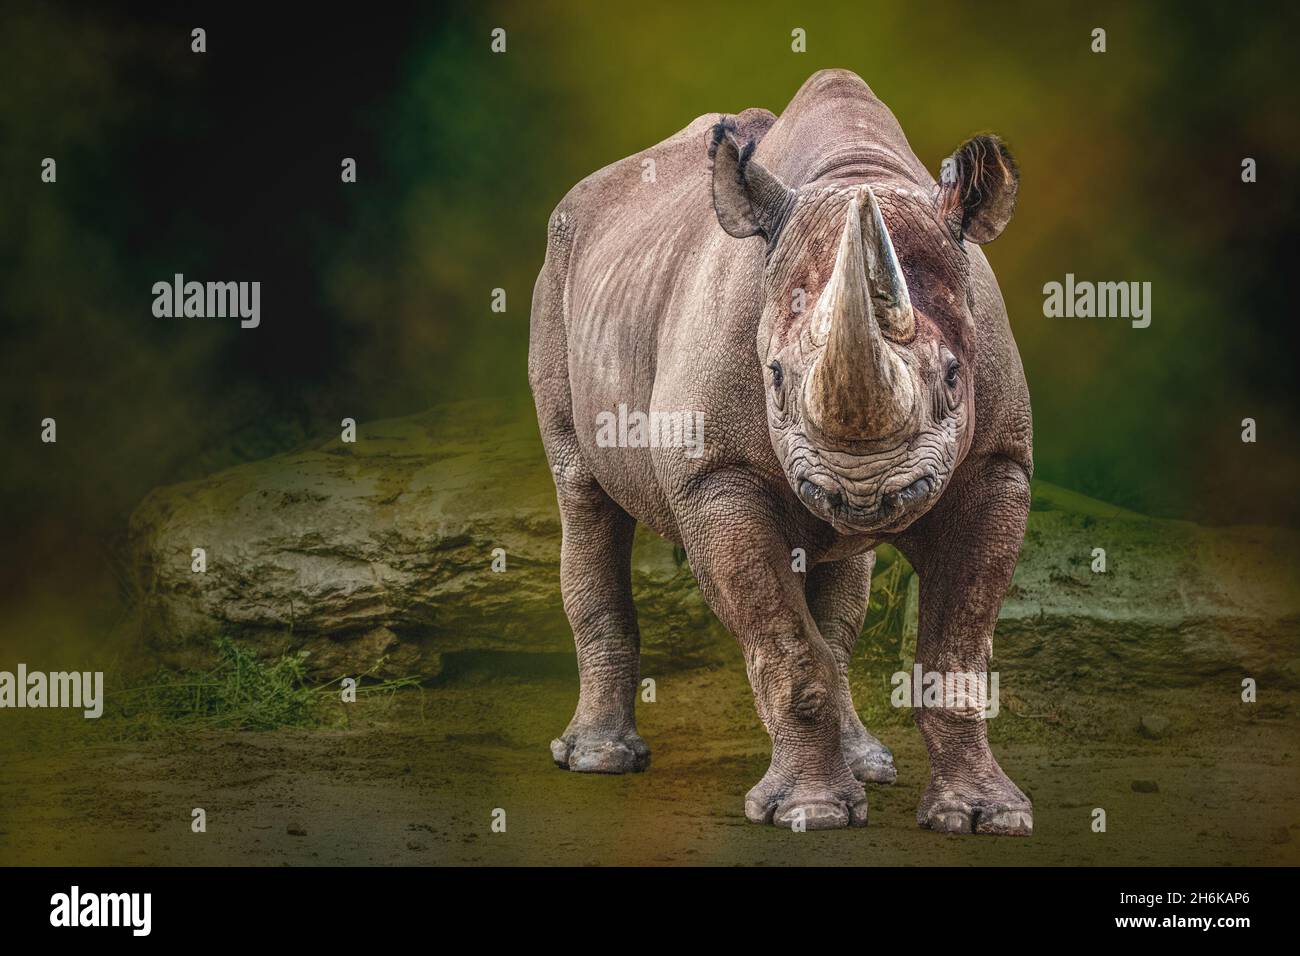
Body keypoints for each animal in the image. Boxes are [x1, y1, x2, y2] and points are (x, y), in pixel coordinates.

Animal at [528, 69, 1032, 834]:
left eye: (953, 377)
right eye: (774, 378)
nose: (863, 490)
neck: (857, 176)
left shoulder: (998, 464)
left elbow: (959, 647)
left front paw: (988, 815)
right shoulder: (715, 476)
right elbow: (787, 645)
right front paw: (812, 814)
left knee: (839, 579)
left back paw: (868, 764)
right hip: (557, 274)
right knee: (584, 494)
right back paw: (598, 760)